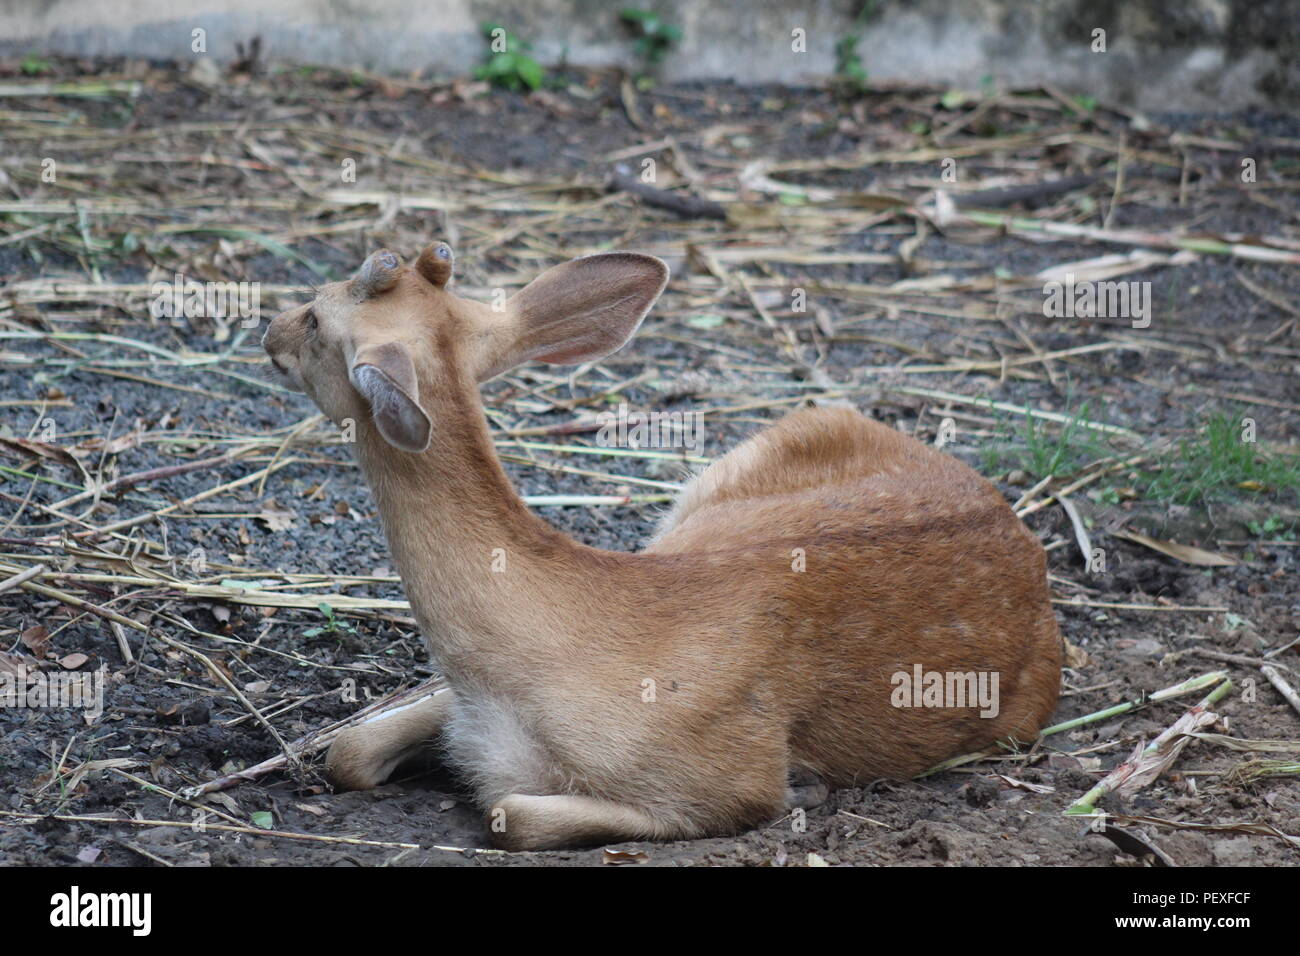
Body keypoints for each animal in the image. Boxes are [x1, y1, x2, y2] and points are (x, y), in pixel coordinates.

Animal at [262, 242, 1063, 851]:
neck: (517, 671)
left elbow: (510, 813)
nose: (268, 331)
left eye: (316, 317)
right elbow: (349, 749)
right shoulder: (458, 699)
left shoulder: (727, 776)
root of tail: (1017, 524)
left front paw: (806, 784)